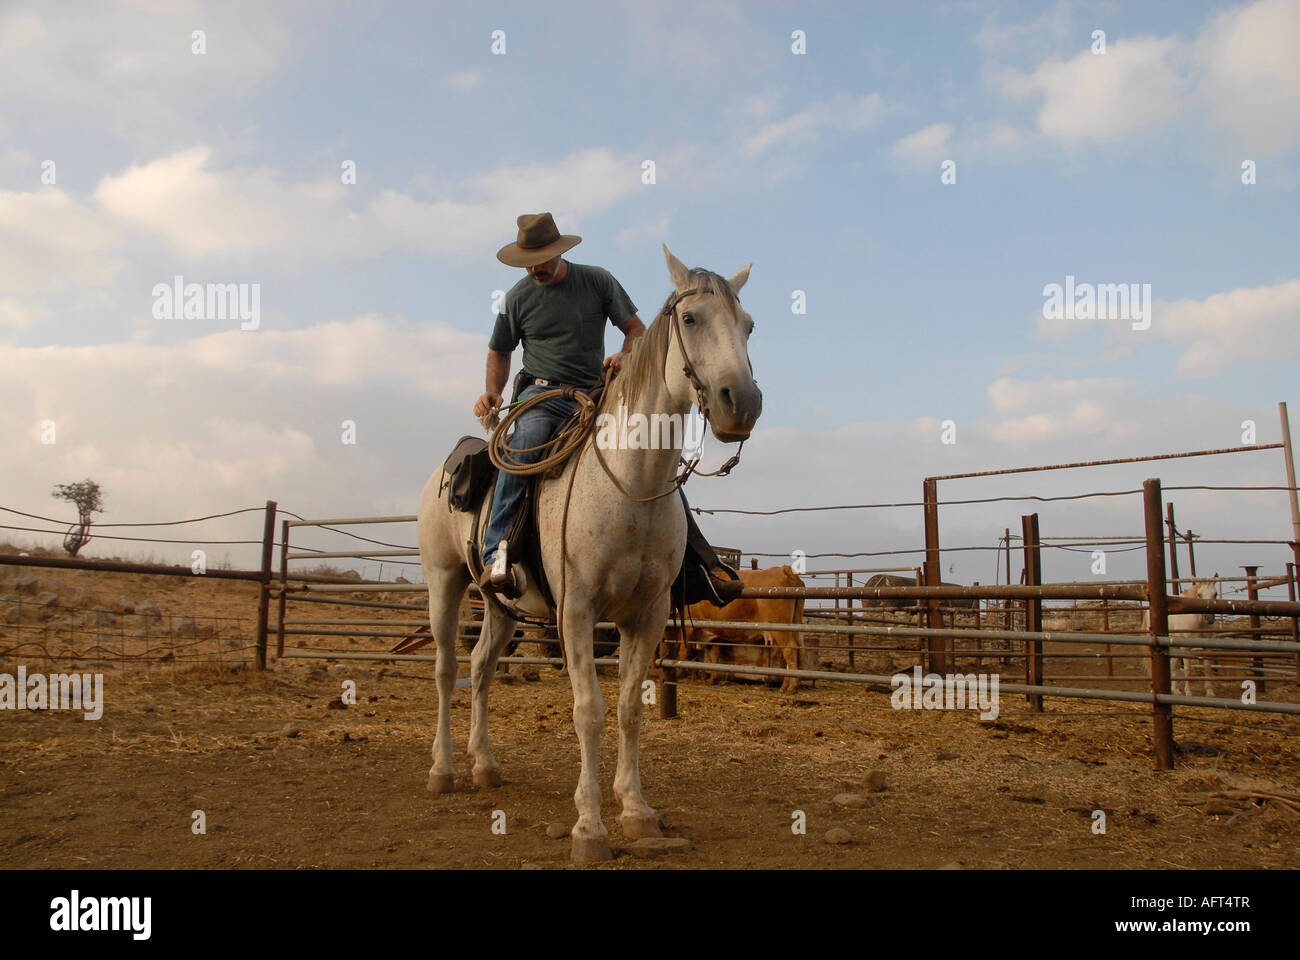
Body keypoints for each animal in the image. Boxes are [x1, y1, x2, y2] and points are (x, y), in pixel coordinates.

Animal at [416, 244, 761, 862]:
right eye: (691, 318)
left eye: (747, 325)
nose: (740, 404)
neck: (629, 484)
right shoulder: (576, 613)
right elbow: (589, 711)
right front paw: (590, 826)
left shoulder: (647, 616)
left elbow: (628, 709)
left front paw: (638, 811)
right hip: (444, 583)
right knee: (446, 668)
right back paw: (444, 769)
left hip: (502, 606)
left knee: (480, 668)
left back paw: (485, 765)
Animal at [667, 565, 805, 693]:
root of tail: (783, 569)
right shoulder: (713, 633)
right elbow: (713, 655)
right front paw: (711, 678)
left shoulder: (690, 627)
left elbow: (683, 652)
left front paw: (676, 673)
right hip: (793, 624)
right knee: (794, 649)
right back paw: (785, 686)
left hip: (780, 628)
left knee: (789, 649)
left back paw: (792, 686)